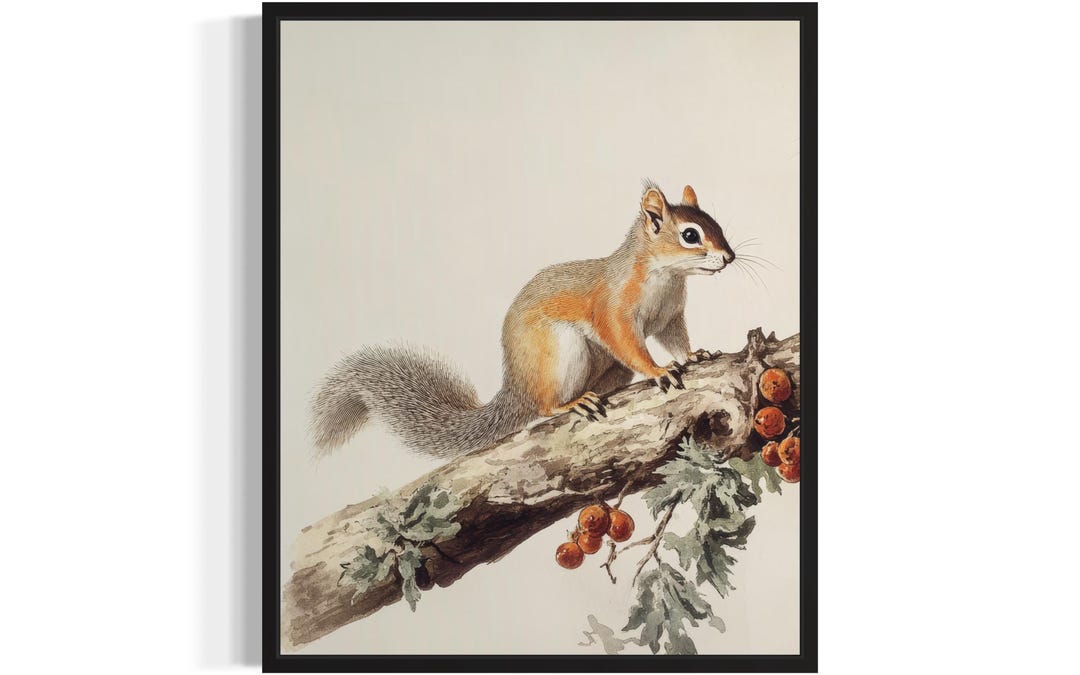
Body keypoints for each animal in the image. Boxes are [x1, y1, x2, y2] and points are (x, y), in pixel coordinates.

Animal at [311, 182, 736, 459]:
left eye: (717, 224)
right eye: (690, 235)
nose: (730, 257)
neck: (666, 276)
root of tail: (516, 387)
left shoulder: (669, 316)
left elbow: (676, 340)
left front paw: (694, 355)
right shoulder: (613, 308)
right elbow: (627, 341)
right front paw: (658, 370)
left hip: (608, 368)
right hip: (559, 353)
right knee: (543, 407)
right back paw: (572, 404)